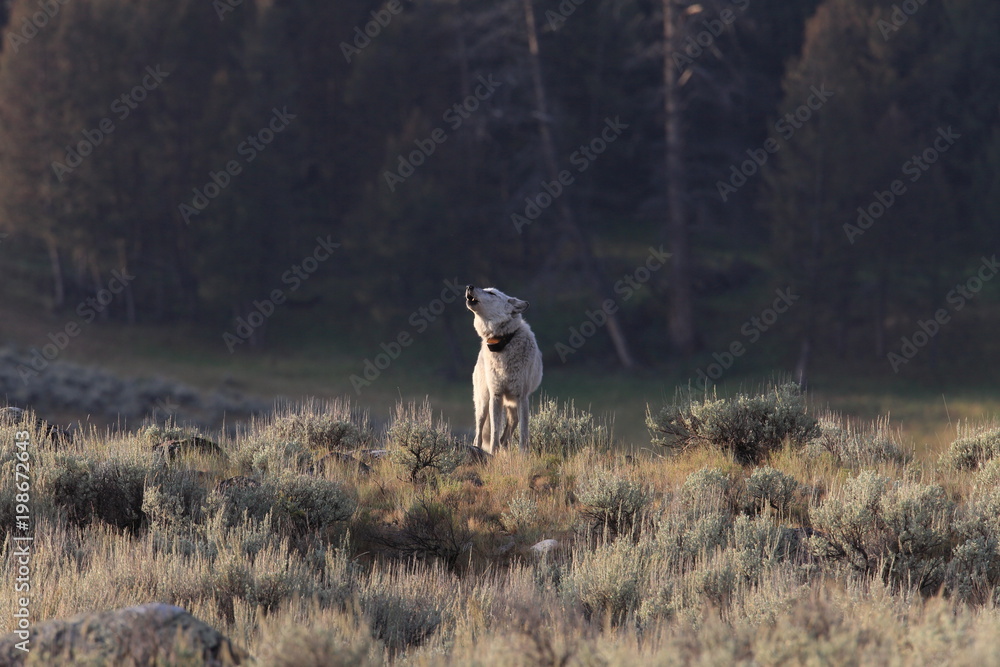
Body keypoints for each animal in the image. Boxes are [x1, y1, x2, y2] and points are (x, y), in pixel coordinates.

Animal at [465, 285, 543, 454]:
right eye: (486, 290)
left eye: (491, 293)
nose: (469, 286)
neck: (503, 341)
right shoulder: (496, 395)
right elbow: (494, 431)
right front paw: (493, 453)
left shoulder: (522, 397)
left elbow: (524, 433)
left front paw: (523, 455)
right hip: (483, 403)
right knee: (479, 434)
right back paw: (478, 449)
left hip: (513, 409)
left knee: (506, 437)